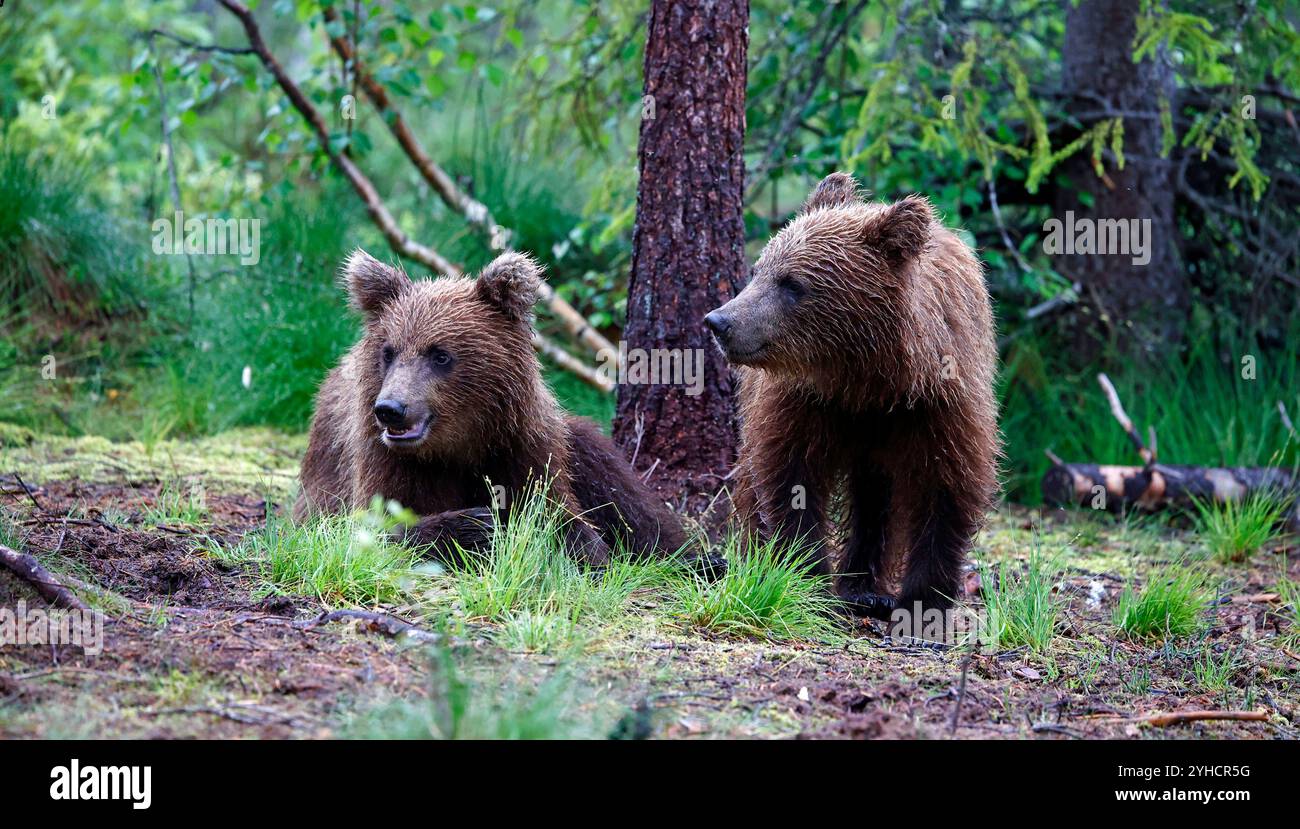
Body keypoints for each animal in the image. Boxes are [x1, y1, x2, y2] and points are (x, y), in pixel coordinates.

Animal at [294, 248, 689, 567]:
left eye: (440, 355)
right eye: (388, 352)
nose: (391, 408)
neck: (459, 443)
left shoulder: (520, 445)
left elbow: (563, 518)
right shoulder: (384, 458)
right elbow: (376, 529)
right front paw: (479, 526)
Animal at [704, 172, 1000, 620]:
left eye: (792, 284)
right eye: (757, 271)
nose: (720, 321)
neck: (868, 381)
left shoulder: (941, 404)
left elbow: (946, 488)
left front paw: (923, 604)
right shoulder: (804, 402)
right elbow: (791, 476)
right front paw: (804, 575)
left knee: (876, 498)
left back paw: (867, 588)